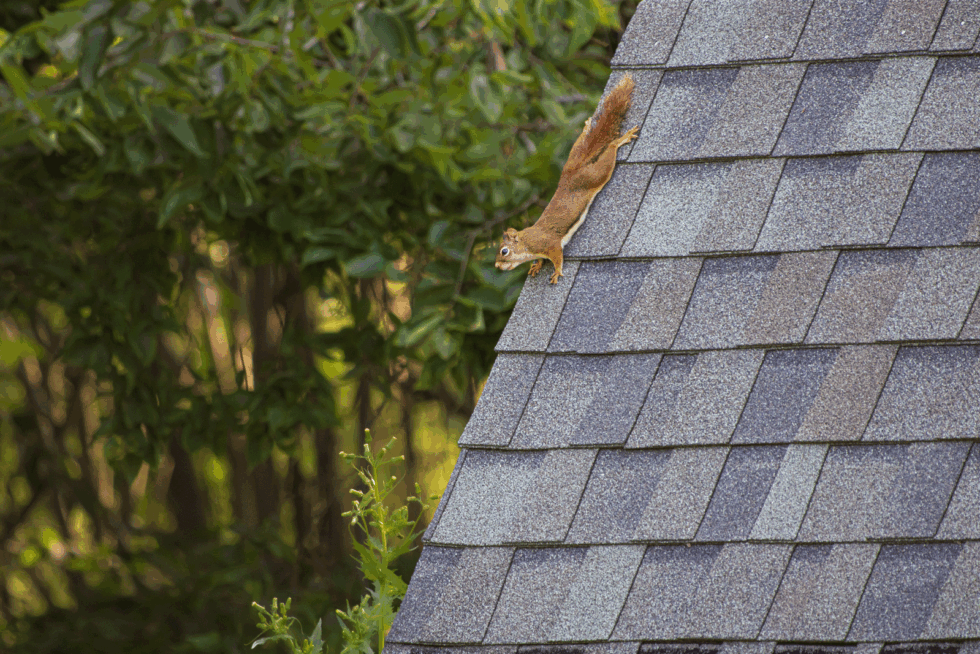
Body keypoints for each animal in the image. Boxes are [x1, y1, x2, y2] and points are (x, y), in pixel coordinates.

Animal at [494, 74, 639, 284]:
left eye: (504, 251)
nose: (497, 266)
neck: (528, 241)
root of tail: (571, 173)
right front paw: (537, 265)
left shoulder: (549, 243)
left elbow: (557, 257)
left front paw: (556, 272)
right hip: (572, 157)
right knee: (579, 145)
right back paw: (586, 127)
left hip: (594, 175)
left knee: (609, 152)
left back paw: (620, 140)